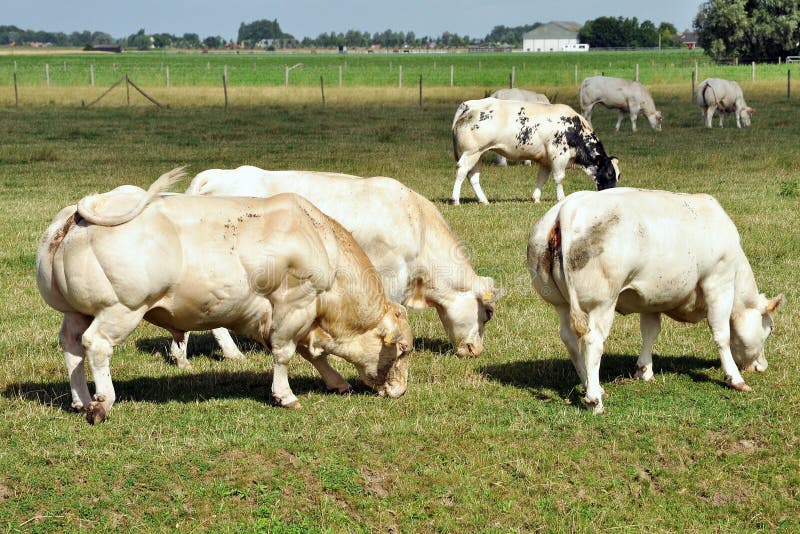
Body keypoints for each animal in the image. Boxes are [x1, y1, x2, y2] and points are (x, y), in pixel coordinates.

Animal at [36, 168, 414, 424]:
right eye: (404, 349)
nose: (400, 392)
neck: (321, 242)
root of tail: (83, 210)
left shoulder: (303, 318)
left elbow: (312, 353)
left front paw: (336, 382)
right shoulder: (293, 307)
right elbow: (285, 354)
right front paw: (286, 395)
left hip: (76, 311)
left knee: (72, 347)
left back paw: (80, 400)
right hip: (119, 310)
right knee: (96, 345)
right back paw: (102, 403)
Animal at [451, 98, 619, 205]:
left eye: (618, 175)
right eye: (610, 173)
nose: (612, 194)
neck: (573, 128)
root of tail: (470, 104)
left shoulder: (545, 160)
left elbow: (541, 179)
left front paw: (536, 198)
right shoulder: (558, 156)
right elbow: (559, 178)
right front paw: (561, 198)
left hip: (478, 154)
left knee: (473, 177)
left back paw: (484, 200)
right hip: (471, 152)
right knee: (462, 171)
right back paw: (455, 200)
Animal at [527, 188, 784, 414]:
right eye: (770, 328)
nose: (762, 366)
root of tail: (568, 207)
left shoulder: (650, 297)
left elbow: (650, 332)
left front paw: (644, 370)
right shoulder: (718, 283)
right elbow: (722, 335)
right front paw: (735, 379)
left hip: (560, 304)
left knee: (570, 340)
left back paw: (591, 385)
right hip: (602, 303)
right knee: (592, 342)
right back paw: (594, 399)